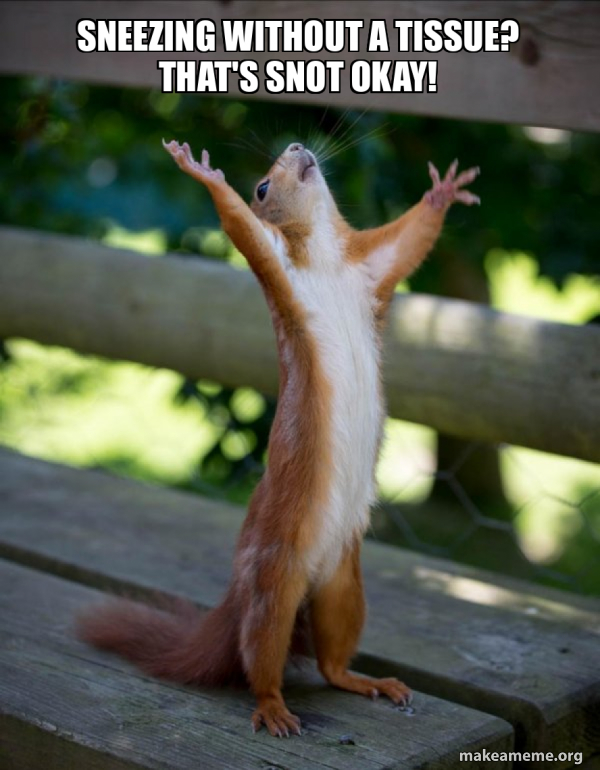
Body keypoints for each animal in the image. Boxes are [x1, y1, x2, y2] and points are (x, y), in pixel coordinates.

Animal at [77, 138, 479, 738]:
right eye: (262, 187)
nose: (296, 147)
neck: (327, 257)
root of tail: (239, 595)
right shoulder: (277, 266)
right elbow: (241, 226)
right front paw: (204, 174)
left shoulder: (372, 267)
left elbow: (409, 240)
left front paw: (443, 192)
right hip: (273, 584)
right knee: (260, 658)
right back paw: (273, 708)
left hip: (344, 586)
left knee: (332, 661)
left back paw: (368, 681)